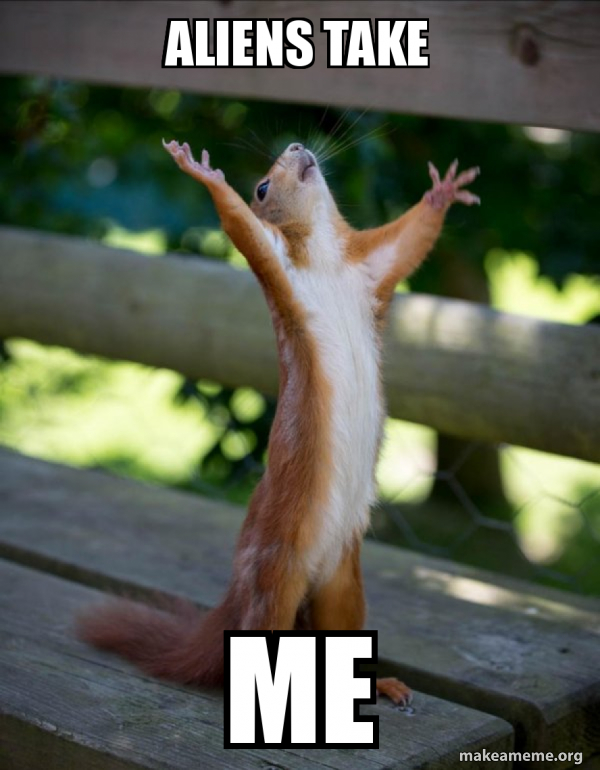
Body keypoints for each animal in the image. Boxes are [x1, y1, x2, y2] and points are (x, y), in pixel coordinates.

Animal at [77, 138, 479, 707]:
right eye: (262, 187)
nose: (296, 146)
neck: (327, 260)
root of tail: (239, 591)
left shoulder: (372, 267)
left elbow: (410, 239)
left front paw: (442, 191)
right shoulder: (277, 265)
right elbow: (240, 226)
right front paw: (203, 173)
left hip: (344, 589)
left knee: (340, 631)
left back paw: (379, 684)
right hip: (274, 580)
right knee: (260, 634)